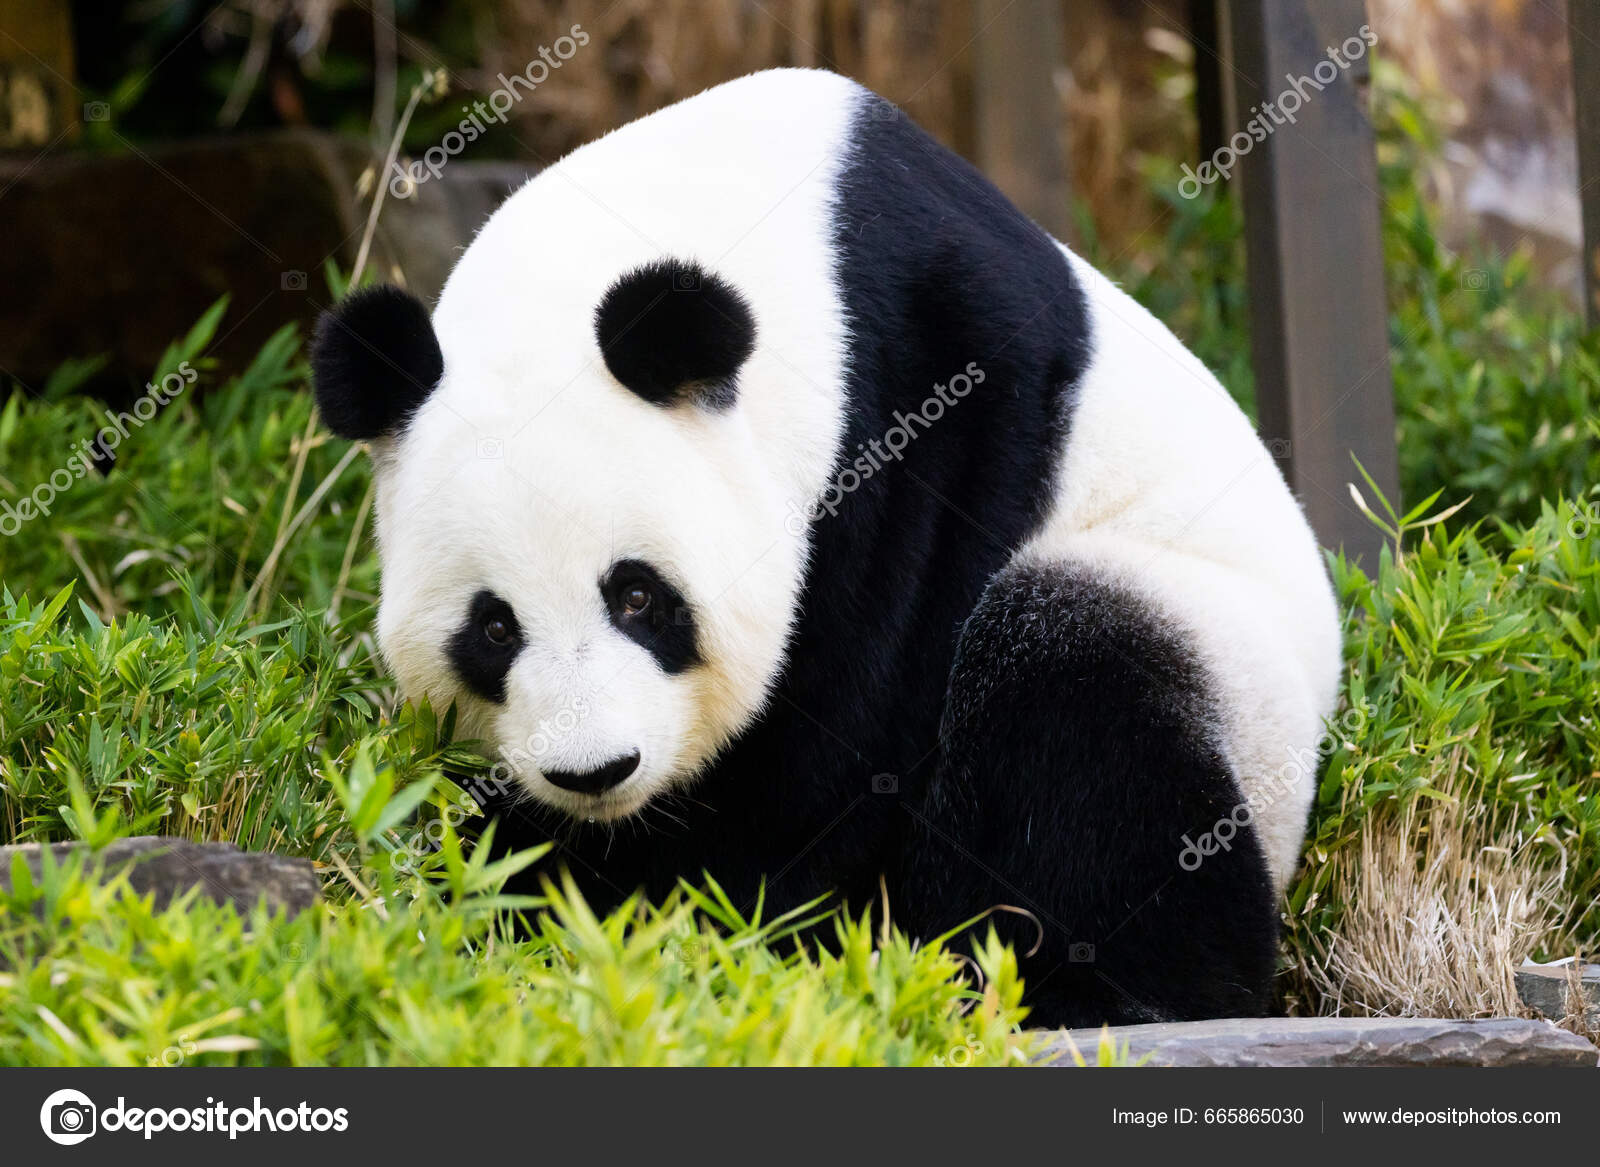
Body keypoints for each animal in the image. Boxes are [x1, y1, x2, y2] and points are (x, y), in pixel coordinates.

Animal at [311, 69, 1342, 1028]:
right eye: (492, 629)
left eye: (638, 596)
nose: (594, 772)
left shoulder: (930, 407)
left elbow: (834, 751)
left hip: (1227, 672)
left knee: (1082, 692)